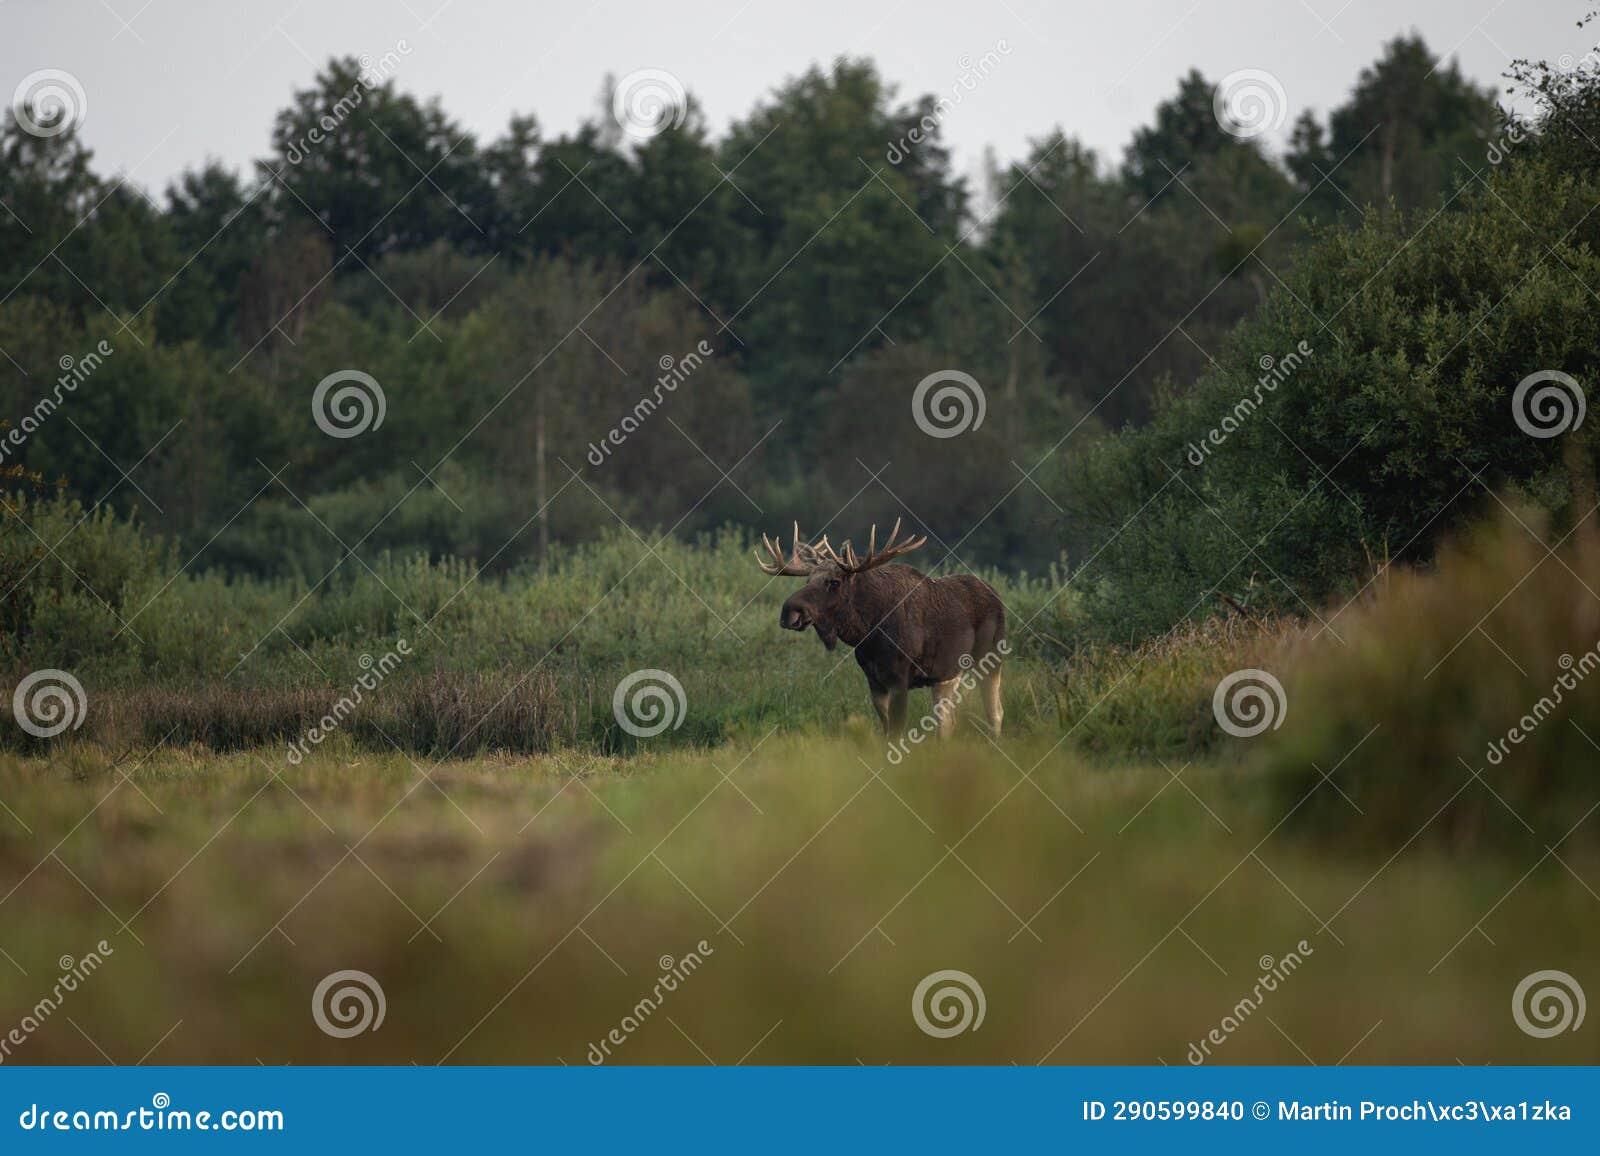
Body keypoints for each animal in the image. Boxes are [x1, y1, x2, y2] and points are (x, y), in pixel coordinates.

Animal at [755, 519, 1006, 739]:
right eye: (807, 581)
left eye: (834, 582)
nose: (789, 612)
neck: (868, 633)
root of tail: (998, 596)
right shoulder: (874, 680)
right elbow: (886, 729)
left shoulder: (899, 679)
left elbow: (896, 731)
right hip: (947, 676)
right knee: (947, 723)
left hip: (990, 659)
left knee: (995, 712)